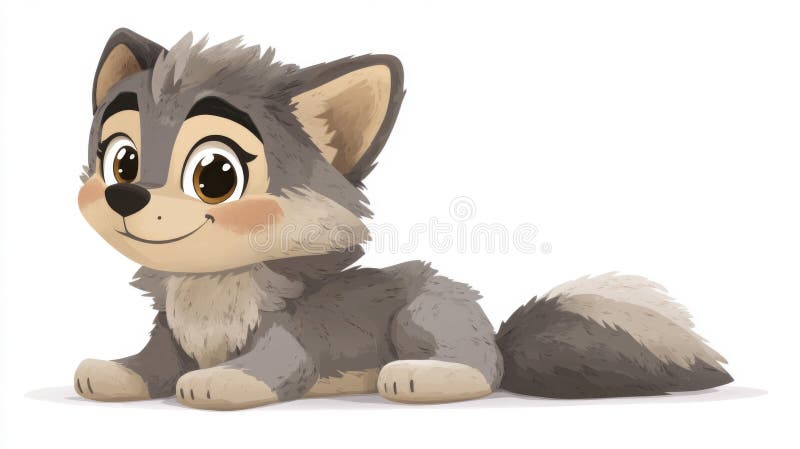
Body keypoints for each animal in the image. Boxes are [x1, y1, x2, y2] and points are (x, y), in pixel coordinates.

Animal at [75, 28, 732, 410]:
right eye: (122, 160)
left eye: (214, 175)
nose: (125, 197)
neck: (211, 287)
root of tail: (491, 326)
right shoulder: (170, 336)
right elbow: (149, 365)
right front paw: (109, 373)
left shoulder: (287, 340)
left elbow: (268, 367)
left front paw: (220, 381)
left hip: (426, 315)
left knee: (485, 370)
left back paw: (417, 377)